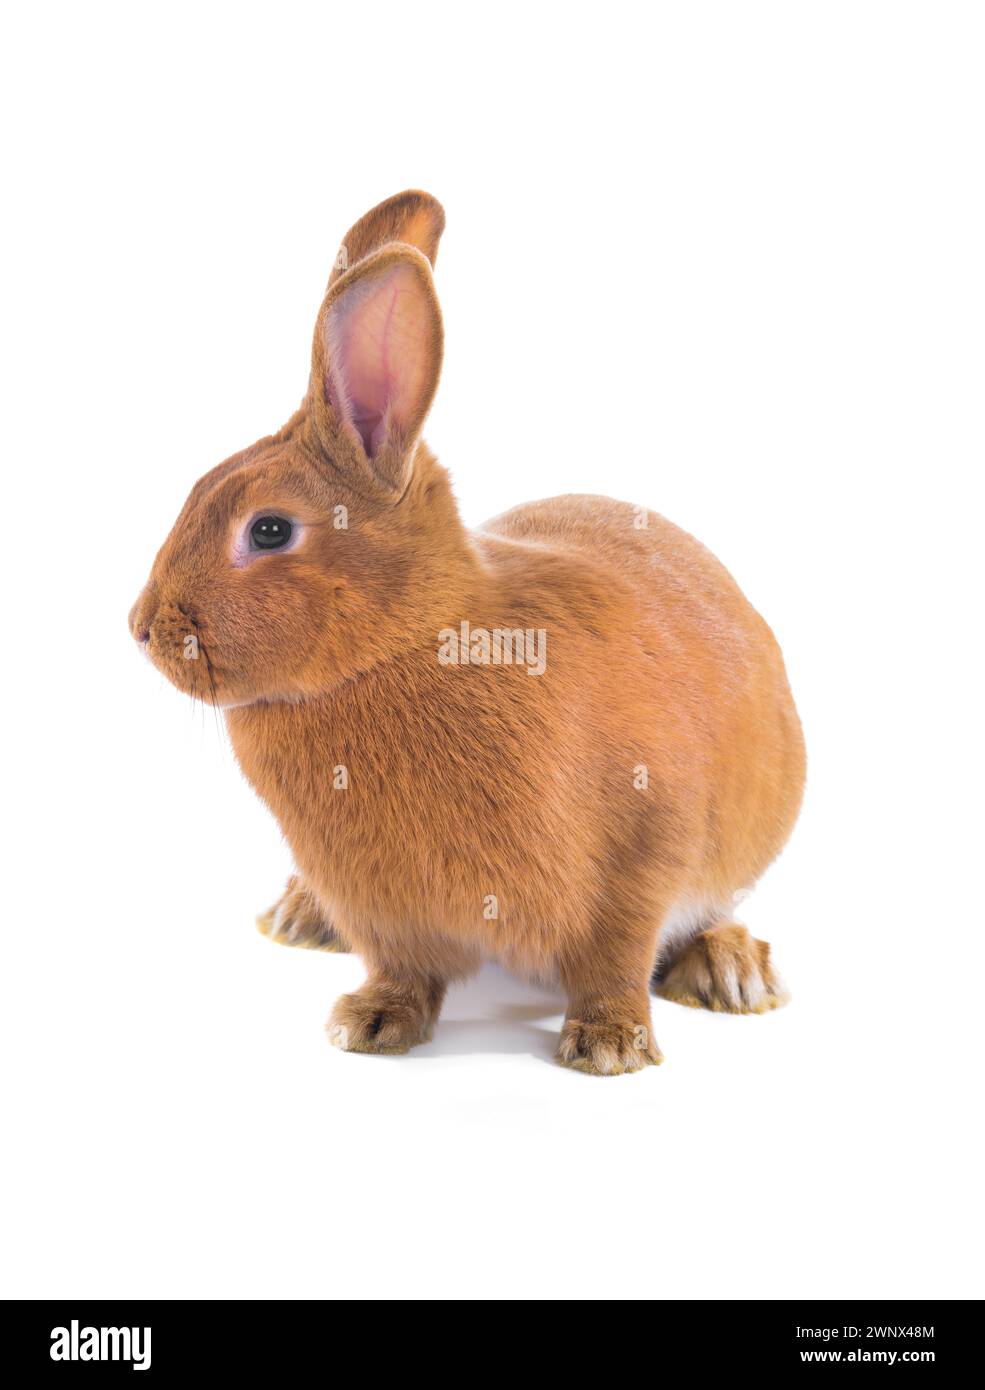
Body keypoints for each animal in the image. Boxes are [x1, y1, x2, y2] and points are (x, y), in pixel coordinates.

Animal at [129, 189, 805, 1075]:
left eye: (269, 530)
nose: (141, 627)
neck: (407, 644)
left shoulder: (642, 853)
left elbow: (617, 954)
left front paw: (609, 1044)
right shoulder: (384, 912)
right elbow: (402, 968)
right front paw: (371, 1021)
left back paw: (732, 971)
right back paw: (299, 918)